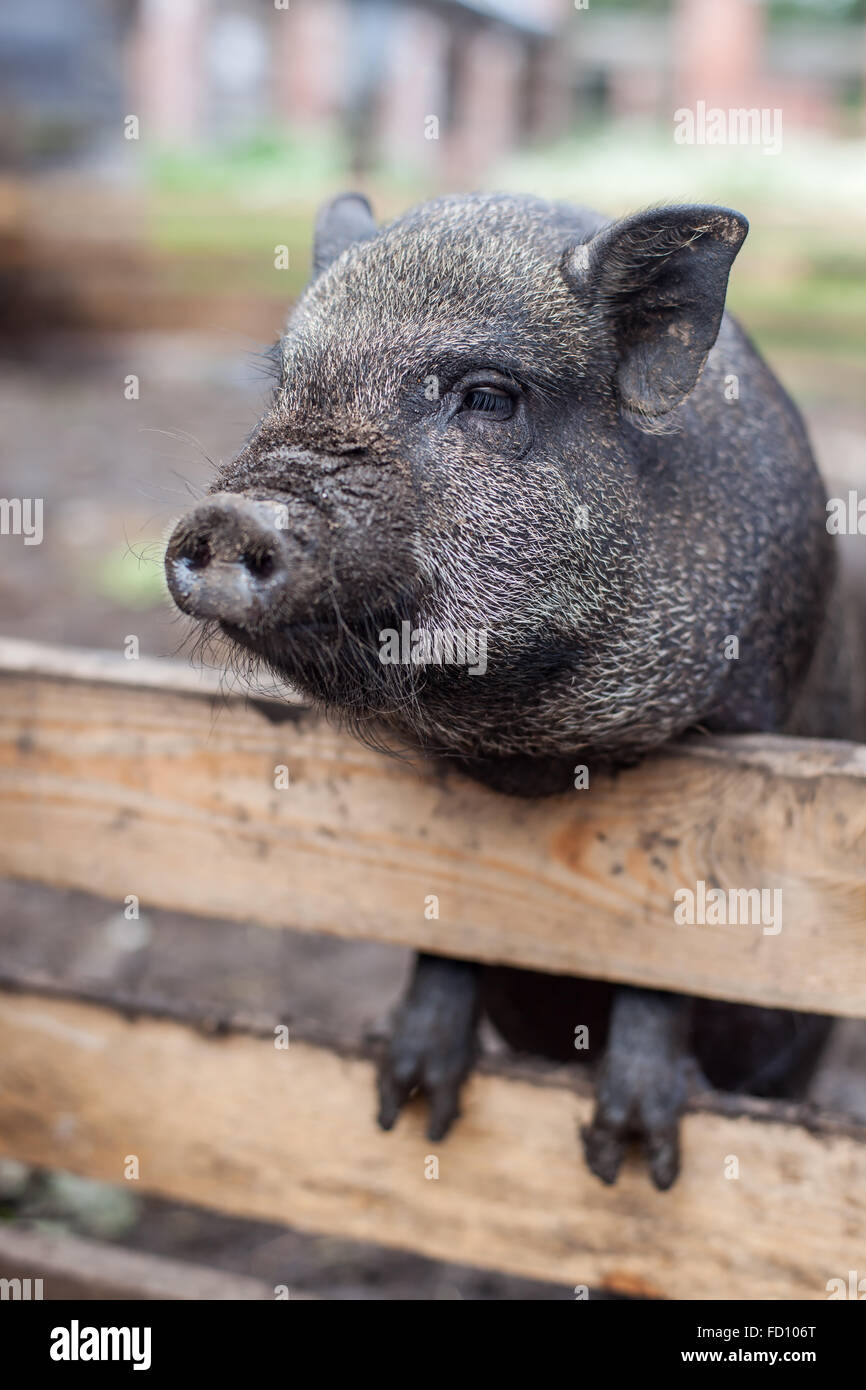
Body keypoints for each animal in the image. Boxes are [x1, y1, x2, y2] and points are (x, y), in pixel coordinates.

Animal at [165, 192, 859, 1189]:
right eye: (288, 386)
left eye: (489, 397)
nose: (231, 513)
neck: (533, 753)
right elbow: (448, 925)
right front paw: (406, 1104)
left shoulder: (732, 744)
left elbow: (668, 957)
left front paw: (628, 1163)